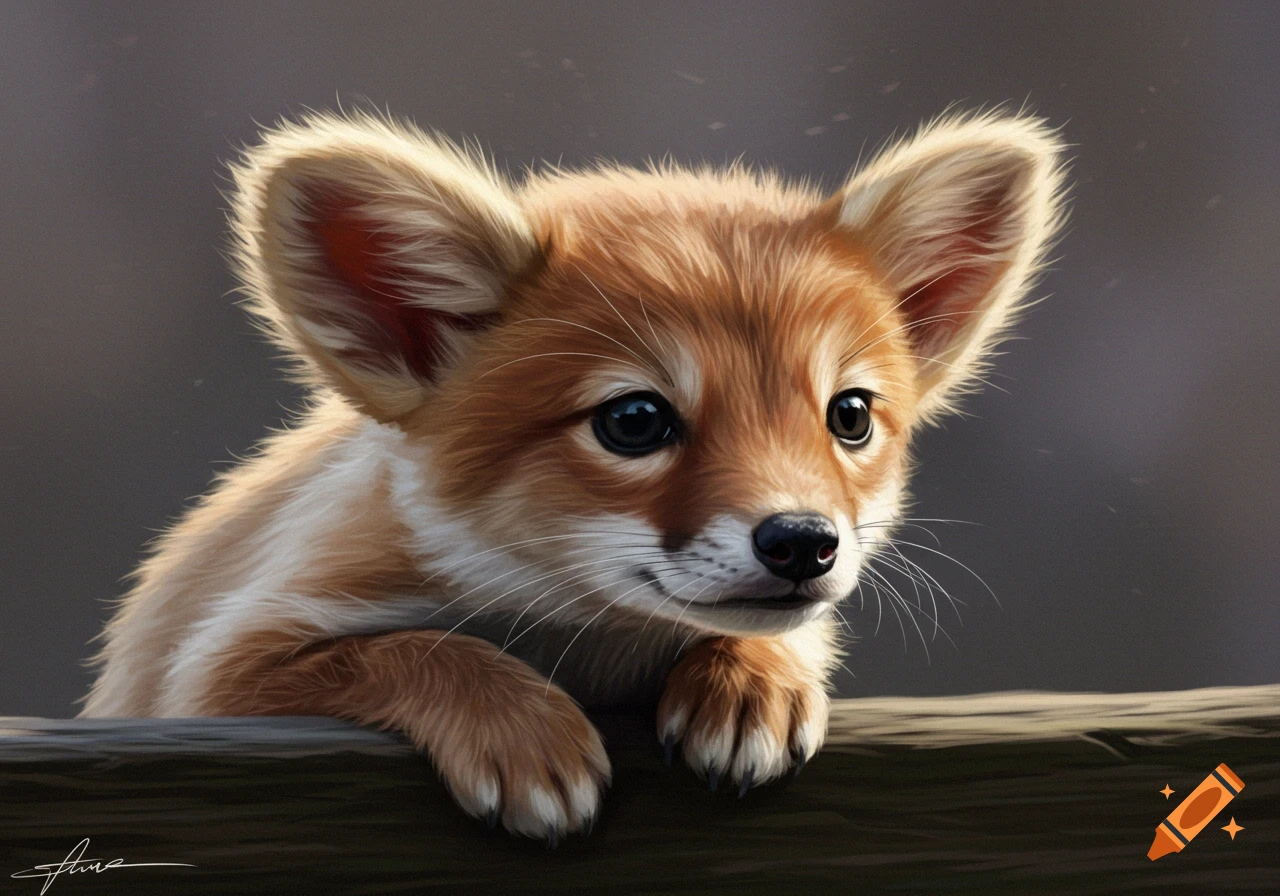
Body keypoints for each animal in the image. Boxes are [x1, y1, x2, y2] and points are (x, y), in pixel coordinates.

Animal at [81, 109, 1066, 841]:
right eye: (634, 422)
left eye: (850, 416)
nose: (803, 543)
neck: (592, 646)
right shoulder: (214, 673)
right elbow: (413, 648)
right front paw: (522, 731)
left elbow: (777, 633)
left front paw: (753, 681)